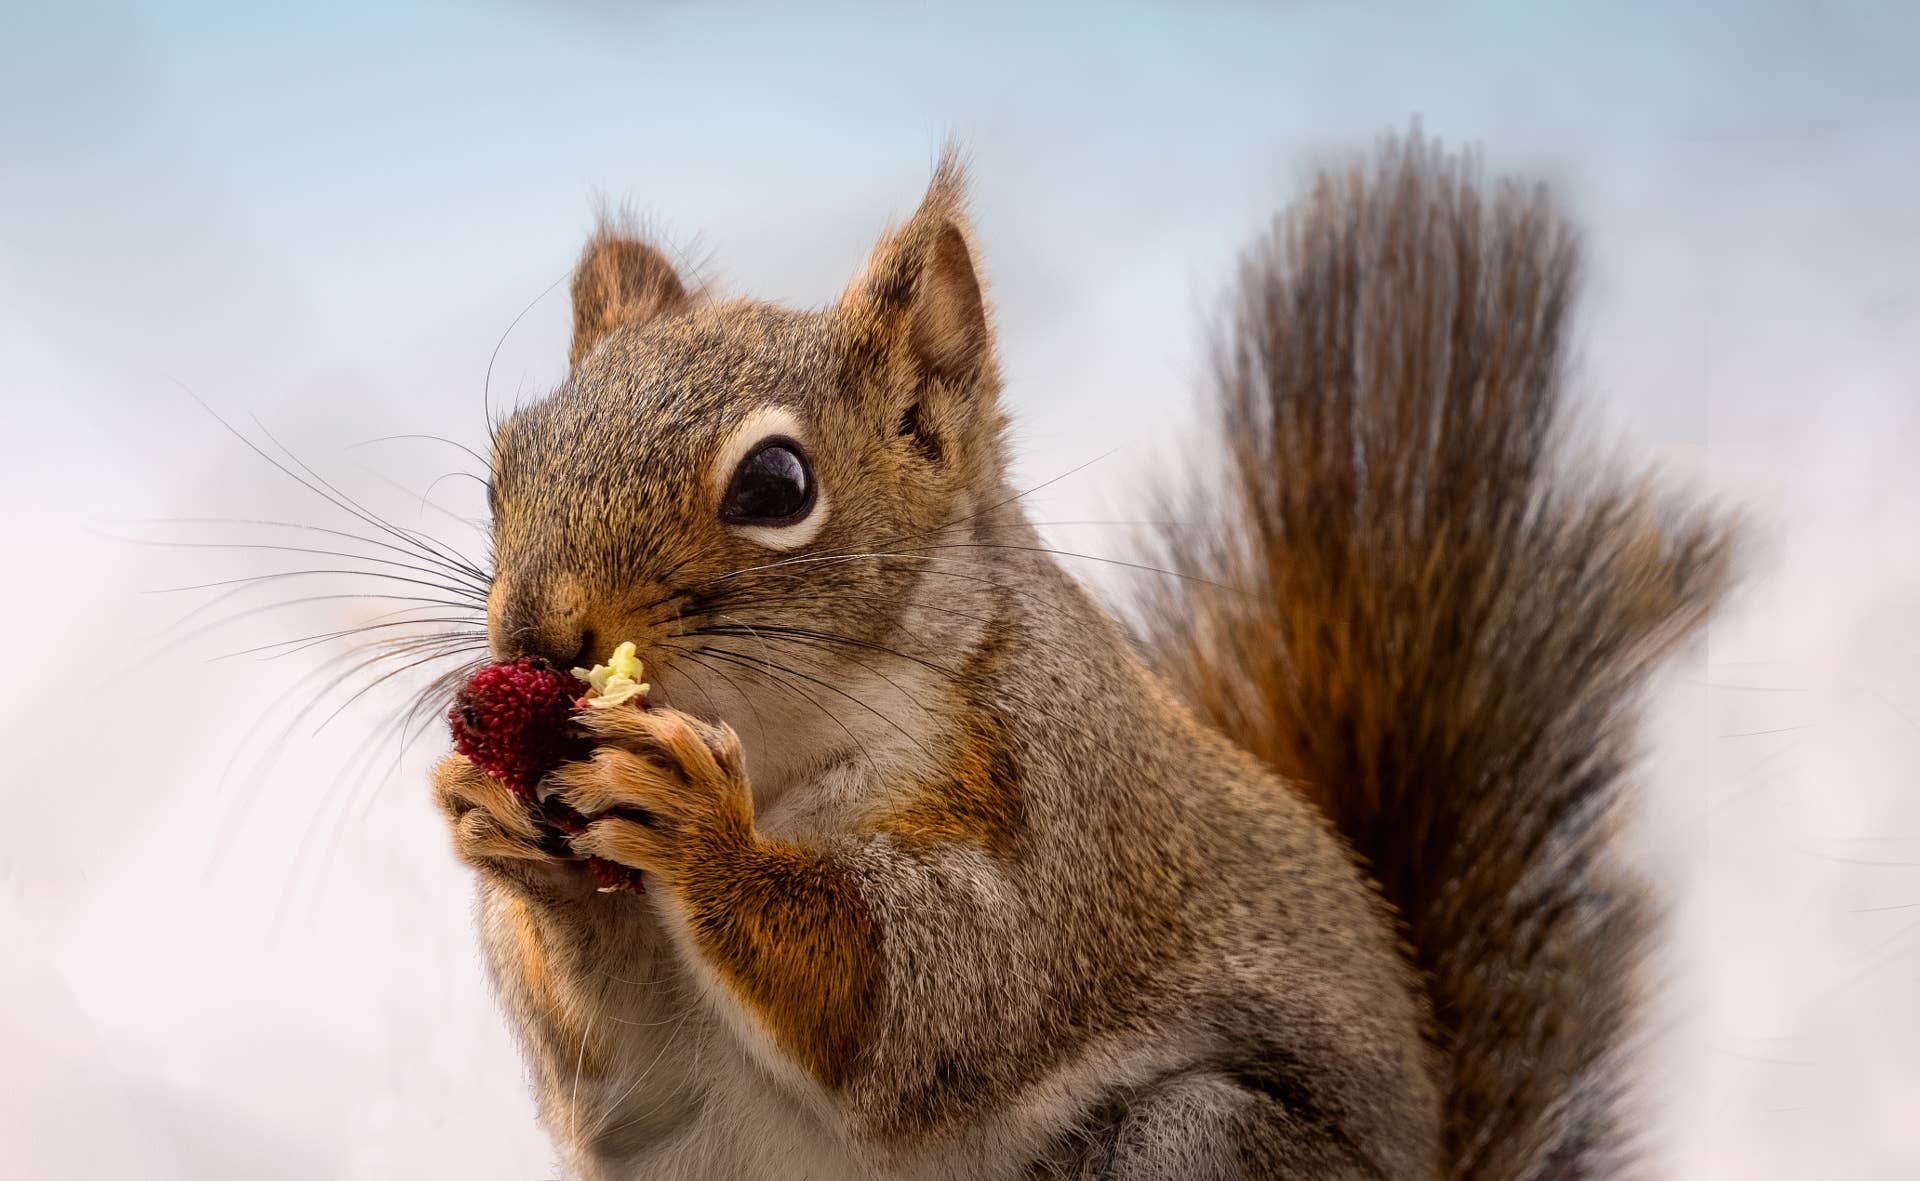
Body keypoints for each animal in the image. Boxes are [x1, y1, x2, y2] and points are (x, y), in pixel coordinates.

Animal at [428, 132, 1734, 1180]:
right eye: (506, 463)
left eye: (777, 484)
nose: (536, 636)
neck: (783, 747)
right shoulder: (658, 1087)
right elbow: (626, 1078)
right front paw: (497, 823)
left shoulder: (1057, 812)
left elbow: (936, 989)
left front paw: (709, 834)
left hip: (1203, 1137)